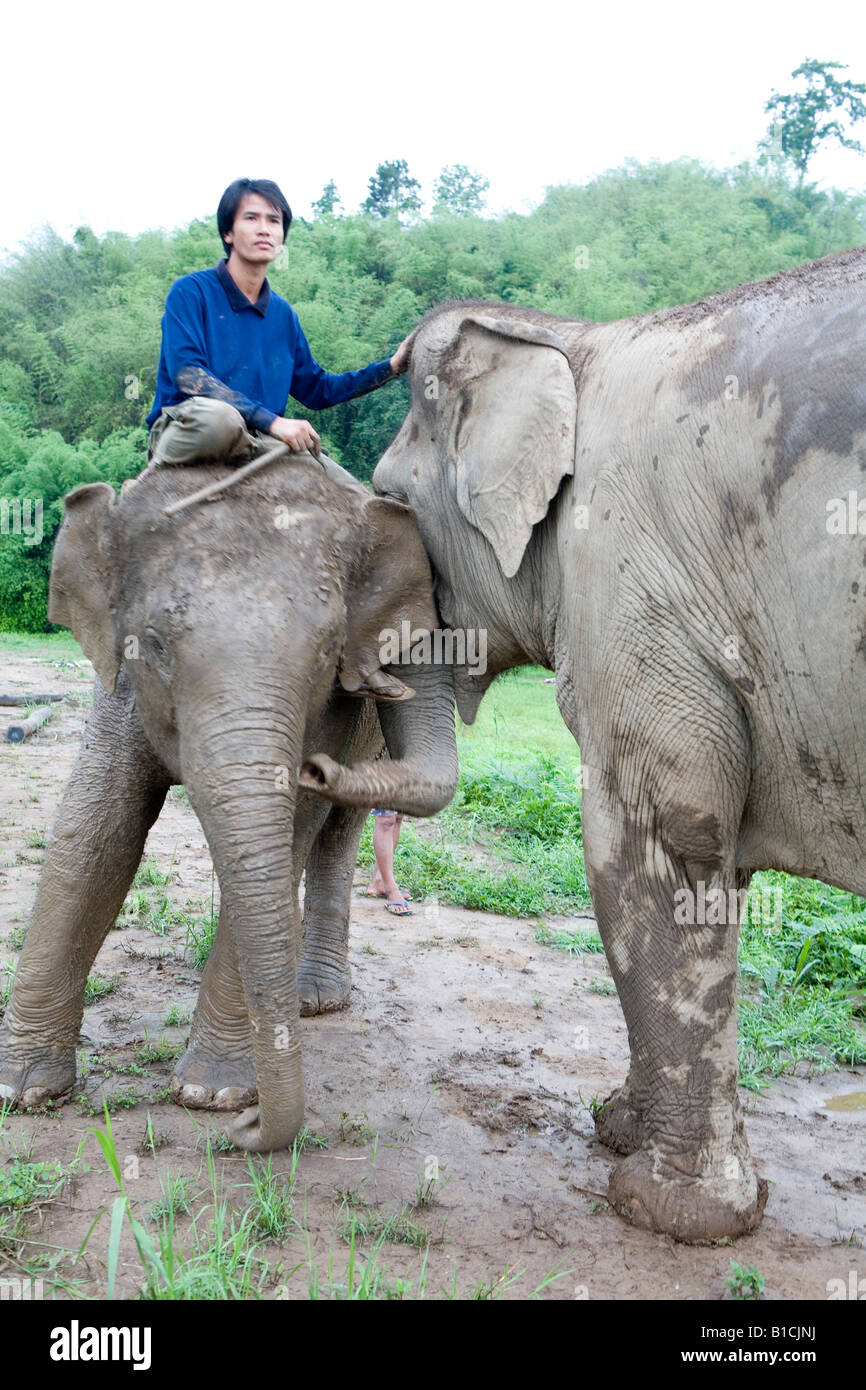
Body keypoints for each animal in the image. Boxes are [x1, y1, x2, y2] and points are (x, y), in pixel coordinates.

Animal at [0, 453, 457, 1151]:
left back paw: (312, 1001)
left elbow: (290, 833)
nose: (251, 1127)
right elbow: (96, 830)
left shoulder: (335, 711)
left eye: (326, 655)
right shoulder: (119, 685)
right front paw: (19, 1091)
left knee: (336, 836)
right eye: (155, 643)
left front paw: (211, 1096)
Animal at [372, 245, 866, 1242]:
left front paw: (666, 1210)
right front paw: (618, 1130)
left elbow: (661, 838)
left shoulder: (636, 582)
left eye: (390, 501)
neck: (568, 340)